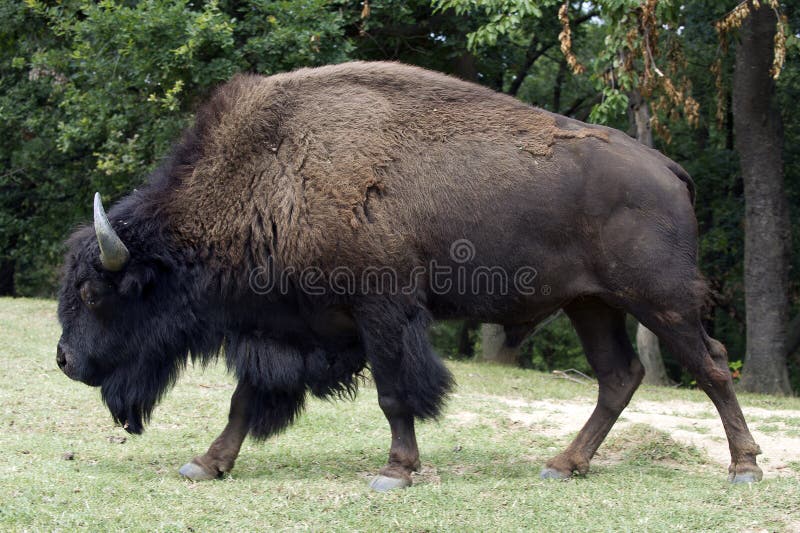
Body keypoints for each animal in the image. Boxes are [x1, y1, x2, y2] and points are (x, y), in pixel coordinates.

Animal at [56, 61, 764, 486]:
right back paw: (562, 465)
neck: (273, 174)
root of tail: (668, 169)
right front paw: (206, 463)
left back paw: (745, 468)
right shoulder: (293, 329)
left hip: (660, 300)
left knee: (709, 363)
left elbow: (394, 393)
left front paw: (395, 472)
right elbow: (246, 399)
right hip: (591, 304)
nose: (64, 360)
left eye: (94, 293)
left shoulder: (382, 314)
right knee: (619, 376)